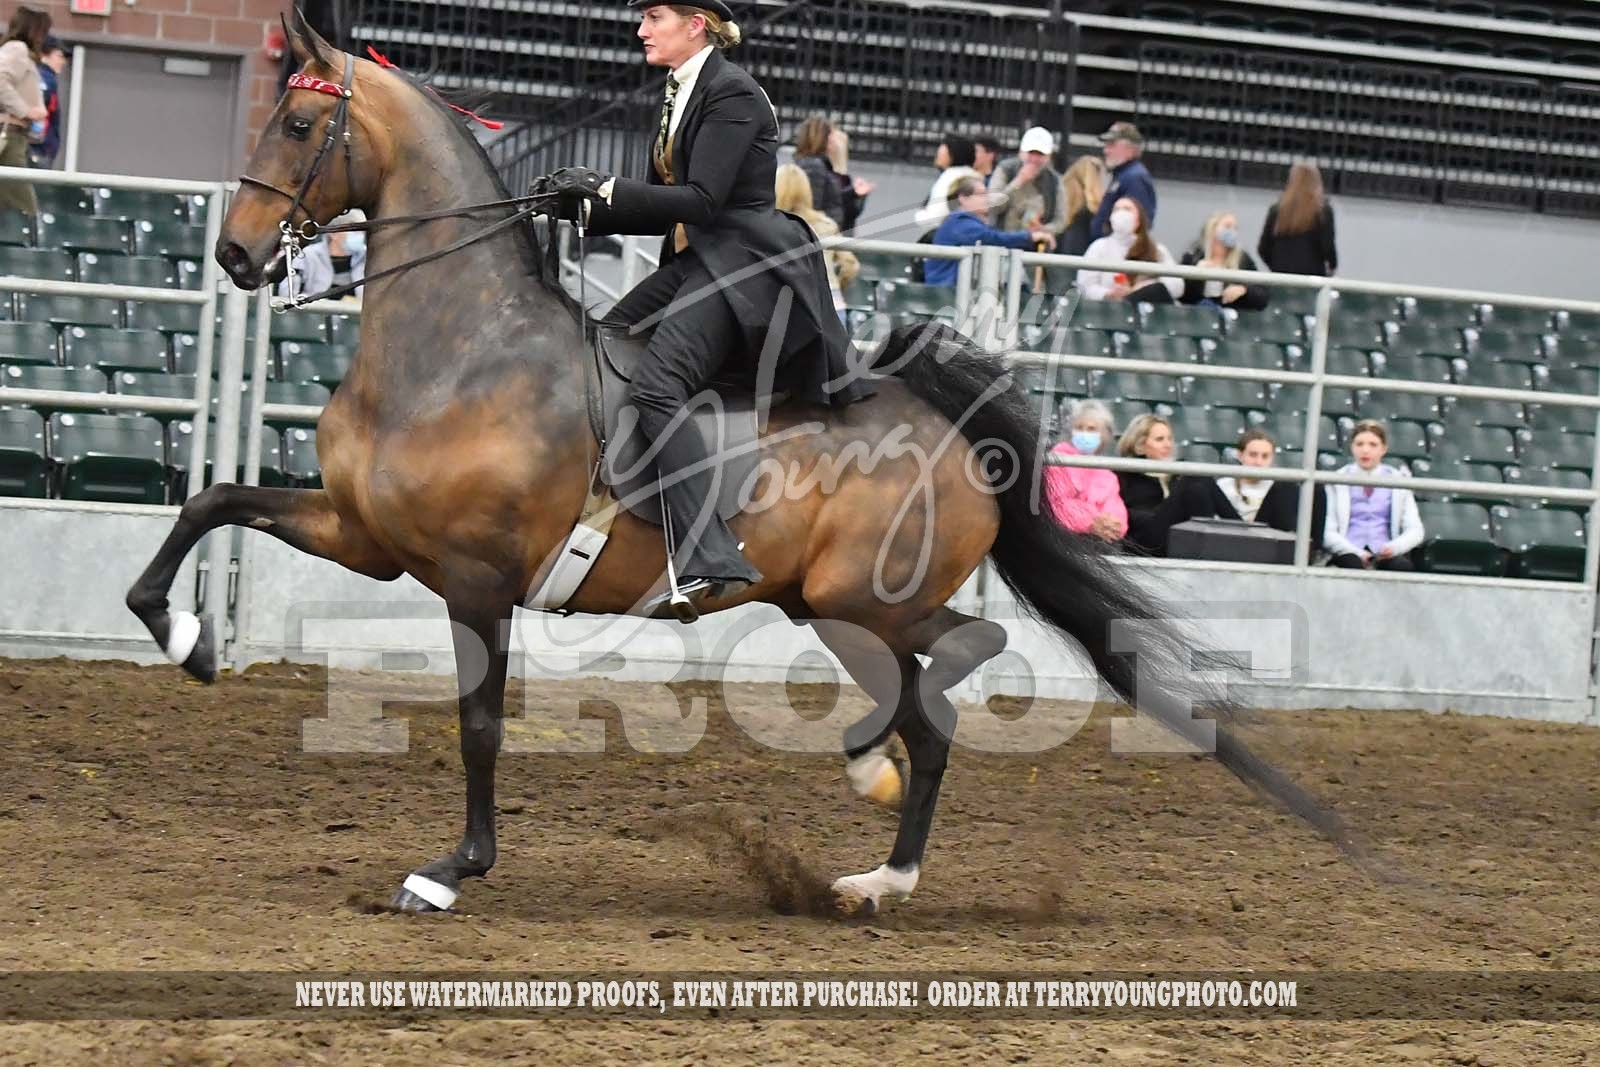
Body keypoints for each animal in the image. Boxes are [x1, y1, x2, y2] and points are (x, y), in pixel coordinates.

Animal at [125, 11, 1364, 916]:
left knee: (960, 668)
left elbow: (479, 723)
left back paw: (874, 824)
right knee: (930, 710)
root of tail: (947, 423)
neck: (459, 345)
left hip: (863, 598)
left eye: (296, 122)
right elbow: (210, 499)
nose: (235, 253)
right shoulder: (369, 537)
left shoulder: (475, 578)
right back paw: (874, 842)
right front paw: (186, 637)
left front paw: (450, 869)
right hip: (836, 606)